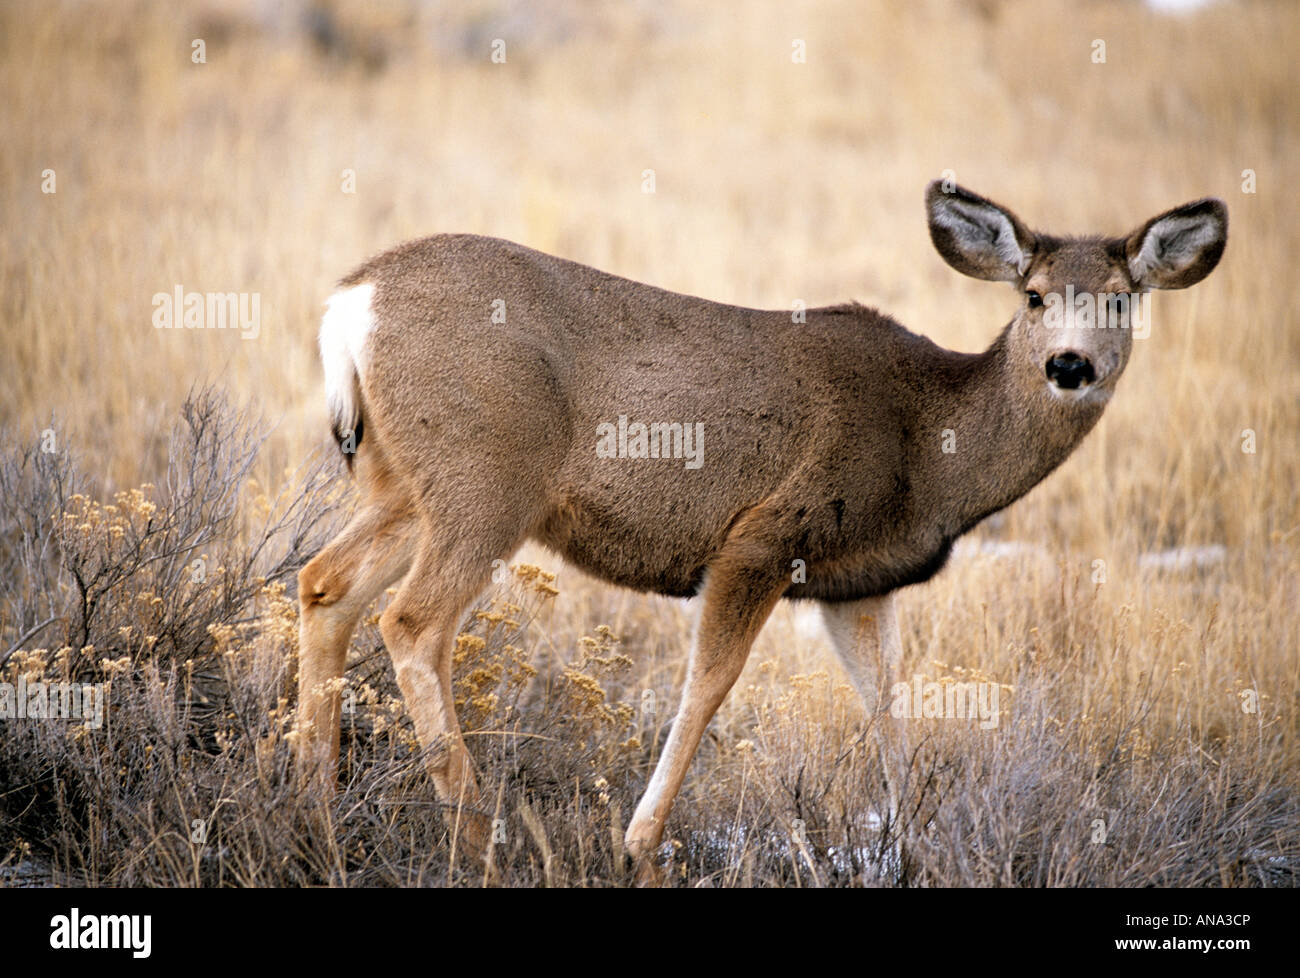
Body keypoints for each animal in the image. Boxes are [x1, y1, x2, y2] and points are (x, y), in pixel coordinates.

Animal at [293, 181, 1227, 878]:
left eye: (1121, 300)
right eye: (1033, 296)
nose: (1069, 365)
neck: (931, 442)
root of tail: (351, 302)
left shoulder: (859, 582)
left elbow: (889, 707)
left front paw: (915, 849)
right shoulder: (767, 535)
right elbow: (710, 684)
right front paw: (638, 845)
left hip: (401, 483)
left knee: (324, 583)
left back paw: (313, 812)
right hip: (486, 475)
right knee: (412, 622)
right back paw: (476, 839)